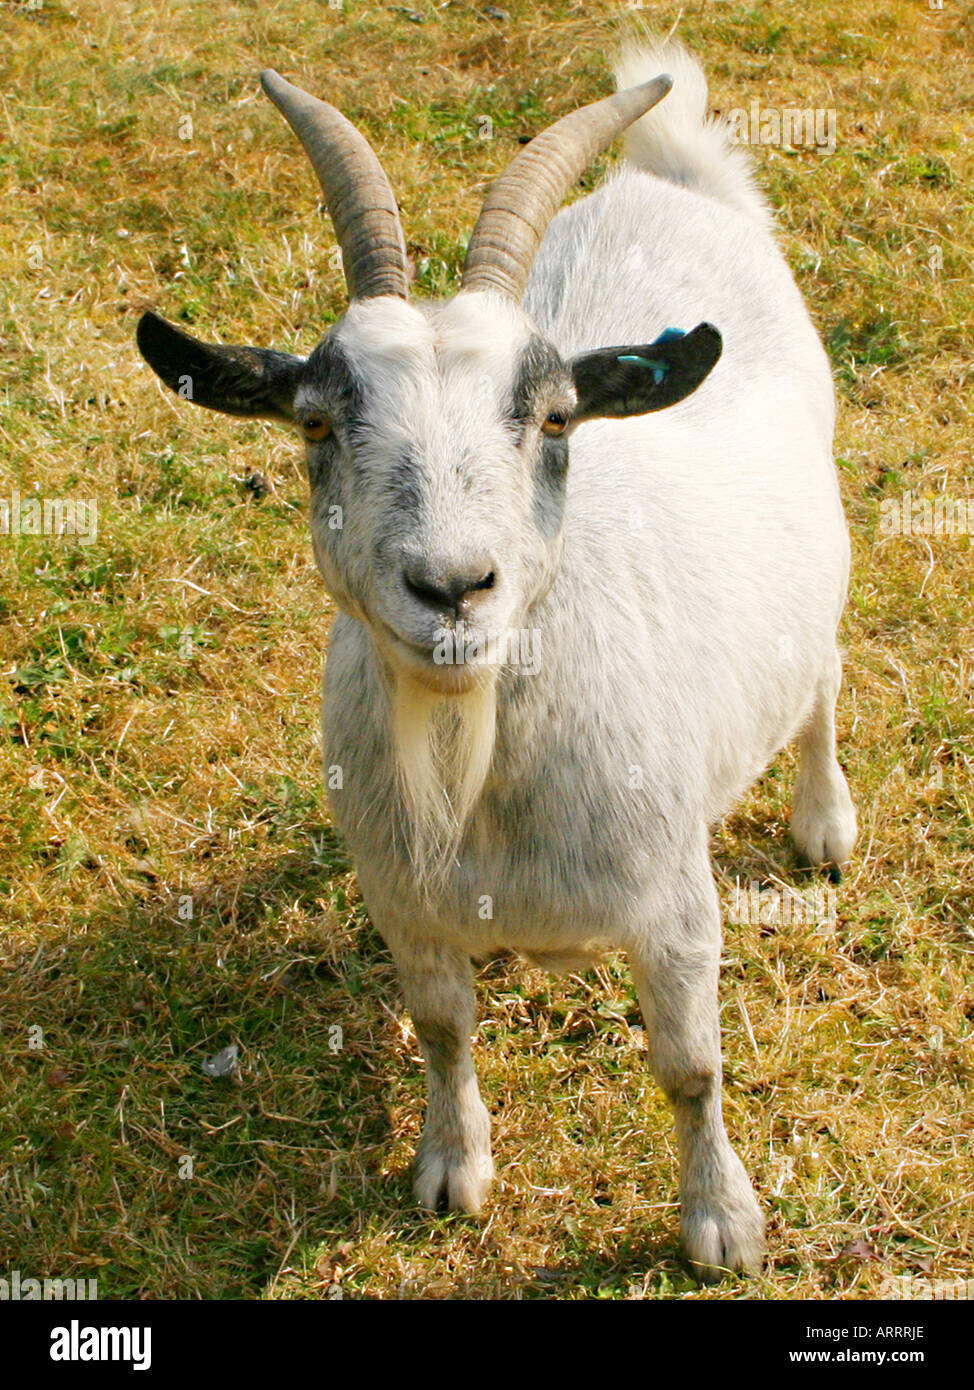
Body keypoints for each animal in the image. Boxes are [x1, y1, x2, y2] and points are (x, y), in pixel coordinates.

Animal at [137, 38, 857, 1281]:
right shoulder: (406, 903)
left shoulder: (674, 905)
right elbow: (441, 1027)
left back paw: (822, 821)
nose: (451, 586)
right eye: (316, 423)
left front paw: (720, 1223)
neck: (475, 771)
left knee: (815, 685)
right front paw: (451, 1168)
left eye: (555, 417)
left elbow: (688, 1069)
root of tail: (668, 177)